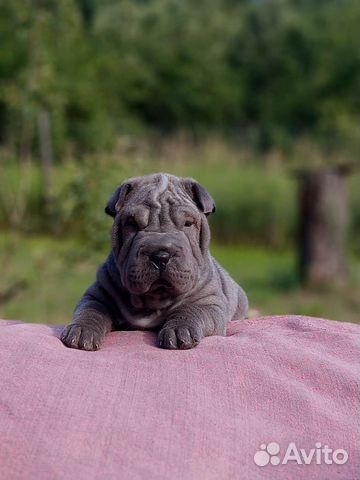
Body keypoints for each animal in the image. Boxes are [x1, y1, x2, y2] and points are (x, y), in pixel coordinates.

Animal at [61, 174, 248, 350]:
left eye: (188, 223)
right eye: (132, 224)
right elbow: (91, 311)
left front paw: (179, 331)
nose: (160, 255)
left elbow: (190, 311)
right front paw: (81, 331)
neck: (154, 298)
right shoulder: (98, 294)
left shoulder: (208, 302)